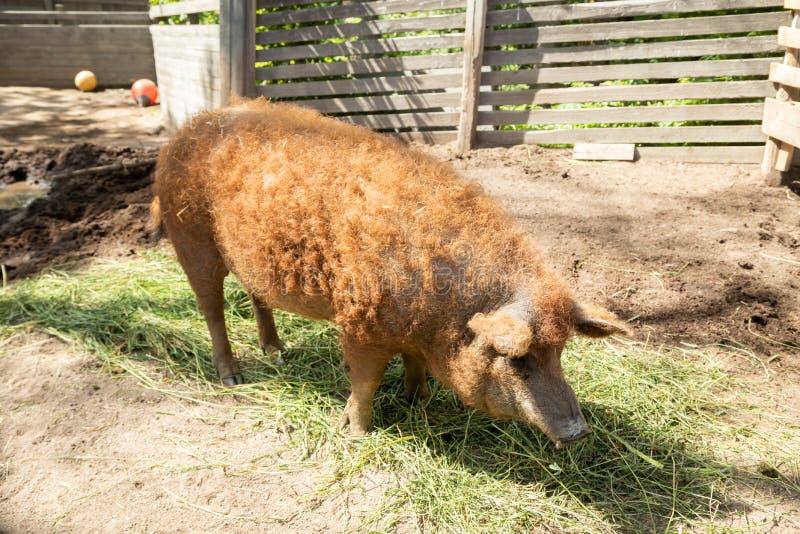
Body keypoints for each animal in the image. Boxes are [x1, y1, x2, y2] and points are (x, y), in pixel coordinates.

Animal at [150, 99, 628, 447]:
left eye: (560, 352)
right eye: (518, 359)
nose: (578, 432)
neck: (443, 310)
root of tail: (187, 130)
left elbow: (412, 363)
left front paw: (418, 400)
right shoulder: (359, 323)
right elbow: (365, 381)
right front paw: (358, 433)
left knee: (256, 296)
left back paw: (277, 353)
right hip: (191, 238)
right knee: (211, 307)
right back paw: (232, 376)